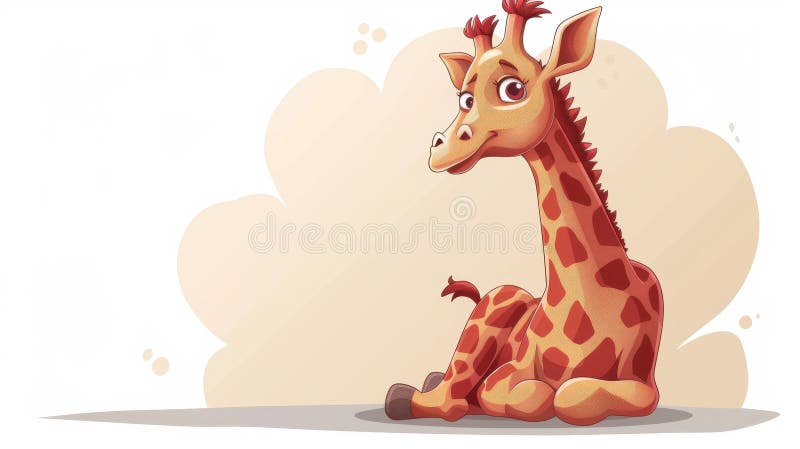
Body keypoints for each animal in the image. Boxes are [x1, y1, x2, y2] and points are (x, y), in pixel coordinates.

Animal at [384, 1, 664, 426]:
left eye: (512, 88)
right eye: (464, 98)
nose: (441, 148)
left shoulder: (643, 378)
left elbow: (573, 394)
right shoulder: (508, 374)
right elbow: (536, 394)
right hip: (497, 301)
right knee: (445, 398)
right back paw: (409, 394)